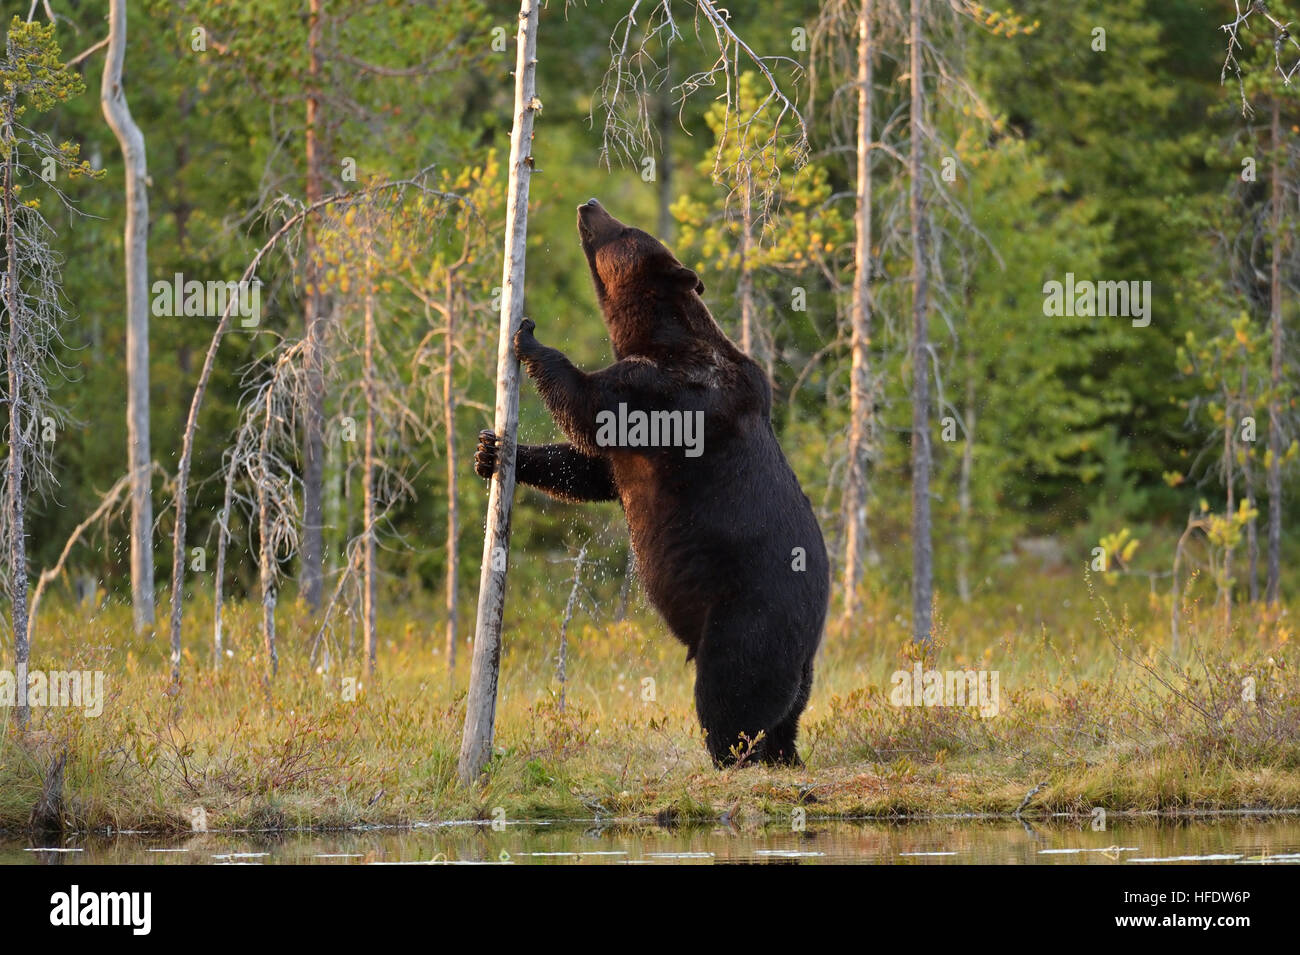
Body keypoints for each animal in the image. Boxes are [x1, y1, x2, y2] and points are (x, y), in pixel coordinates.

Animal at [474, 198, 829, 767]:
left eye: (626, 230)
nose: (590, 204)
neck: (655, 337)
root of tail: (809, 642)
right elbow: (593, 468)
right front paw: (494, 451)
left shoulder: (672, 395)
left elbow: (590, 406)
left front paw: (527, 337)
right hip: (794, 665)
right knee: (783, 715)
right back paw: (780, 752)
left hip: (749, 616)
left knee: (728, 690)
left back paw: (729, 756)